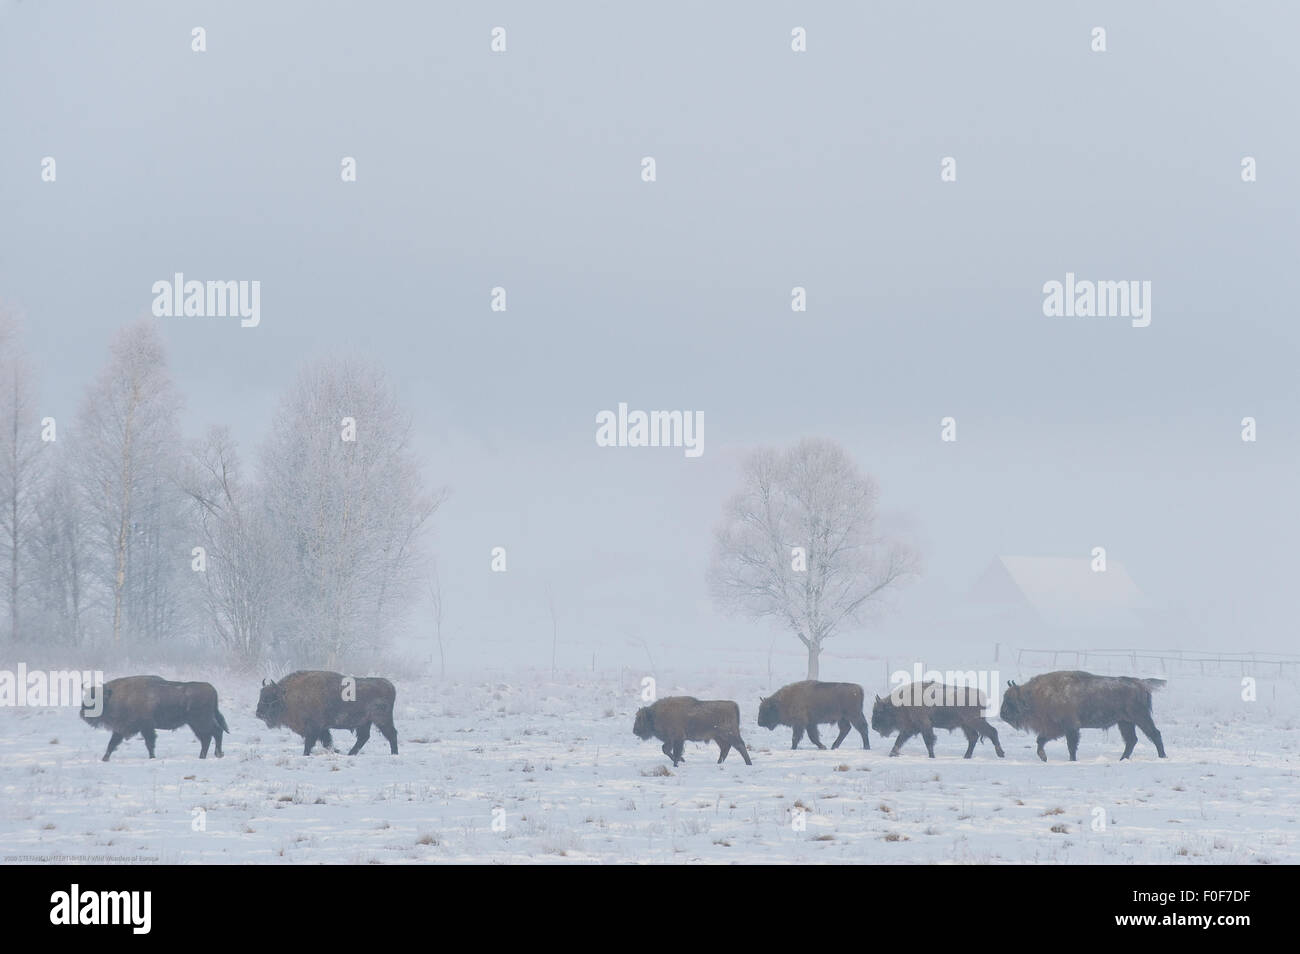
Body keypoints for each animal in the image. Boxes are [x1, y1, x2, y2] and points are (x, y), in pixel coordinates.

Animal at [80, 675, 229, 761]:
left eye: (95, 700)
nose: (82, 713)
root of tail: (212, 689)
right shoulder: (122, 729)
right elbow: (112, 743)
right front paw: (104, 758)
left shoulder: (145, 727)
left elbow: (149, 743)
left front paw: (152, 757)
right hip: (197, 723)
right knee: (210, 735)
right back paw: (210, 755)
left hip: (199, 722)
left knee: (212, 734)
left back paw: (210, 755)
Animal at [256, 670, 398, 755]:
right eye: (261, 695)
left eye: (270, 698)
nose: (258, 713)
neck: (287, 695)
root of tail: (390, 686)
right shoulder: (322, 729)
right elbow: (327, 742)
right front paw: (336, 750)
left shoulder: (313, 728)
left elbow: (310, 743)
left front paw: (306, 754)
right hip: (365, 722)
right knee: (364, 737)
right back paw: (350, 754)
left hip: (381, 720)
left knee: (391, 734)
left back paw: (394, 754)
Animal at [871, 682, 1004, 758]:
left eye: (879, 712)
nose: (873, 727)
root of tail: (981, 695)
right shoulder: (911, 728)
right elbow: (899, 740)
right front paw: (892, 754)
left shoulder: (923, 725)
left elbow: (928, 741)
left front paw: (932, 756)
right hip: (966, 725)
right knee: (973, 737)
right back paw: (966, 756)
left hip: (974, 722)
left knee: (991, 731)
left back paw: (1000, 754)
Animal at [999, 670, 1167, 761]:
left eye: (1010, 700)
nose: (1002, 714)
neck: (1036, 695)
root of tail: (1141, 683)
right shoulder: (1055, 728)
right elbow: (1041, 740)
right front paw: (1043, 757)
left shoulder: (1069, 728)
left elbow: (1071, 746)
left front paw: (1071, 760)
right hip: (1125, 722)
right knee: (1132, 740)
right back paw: (1122, 759)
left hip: (1140, 718)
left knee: (1154, 734)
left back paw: (1162, 756)